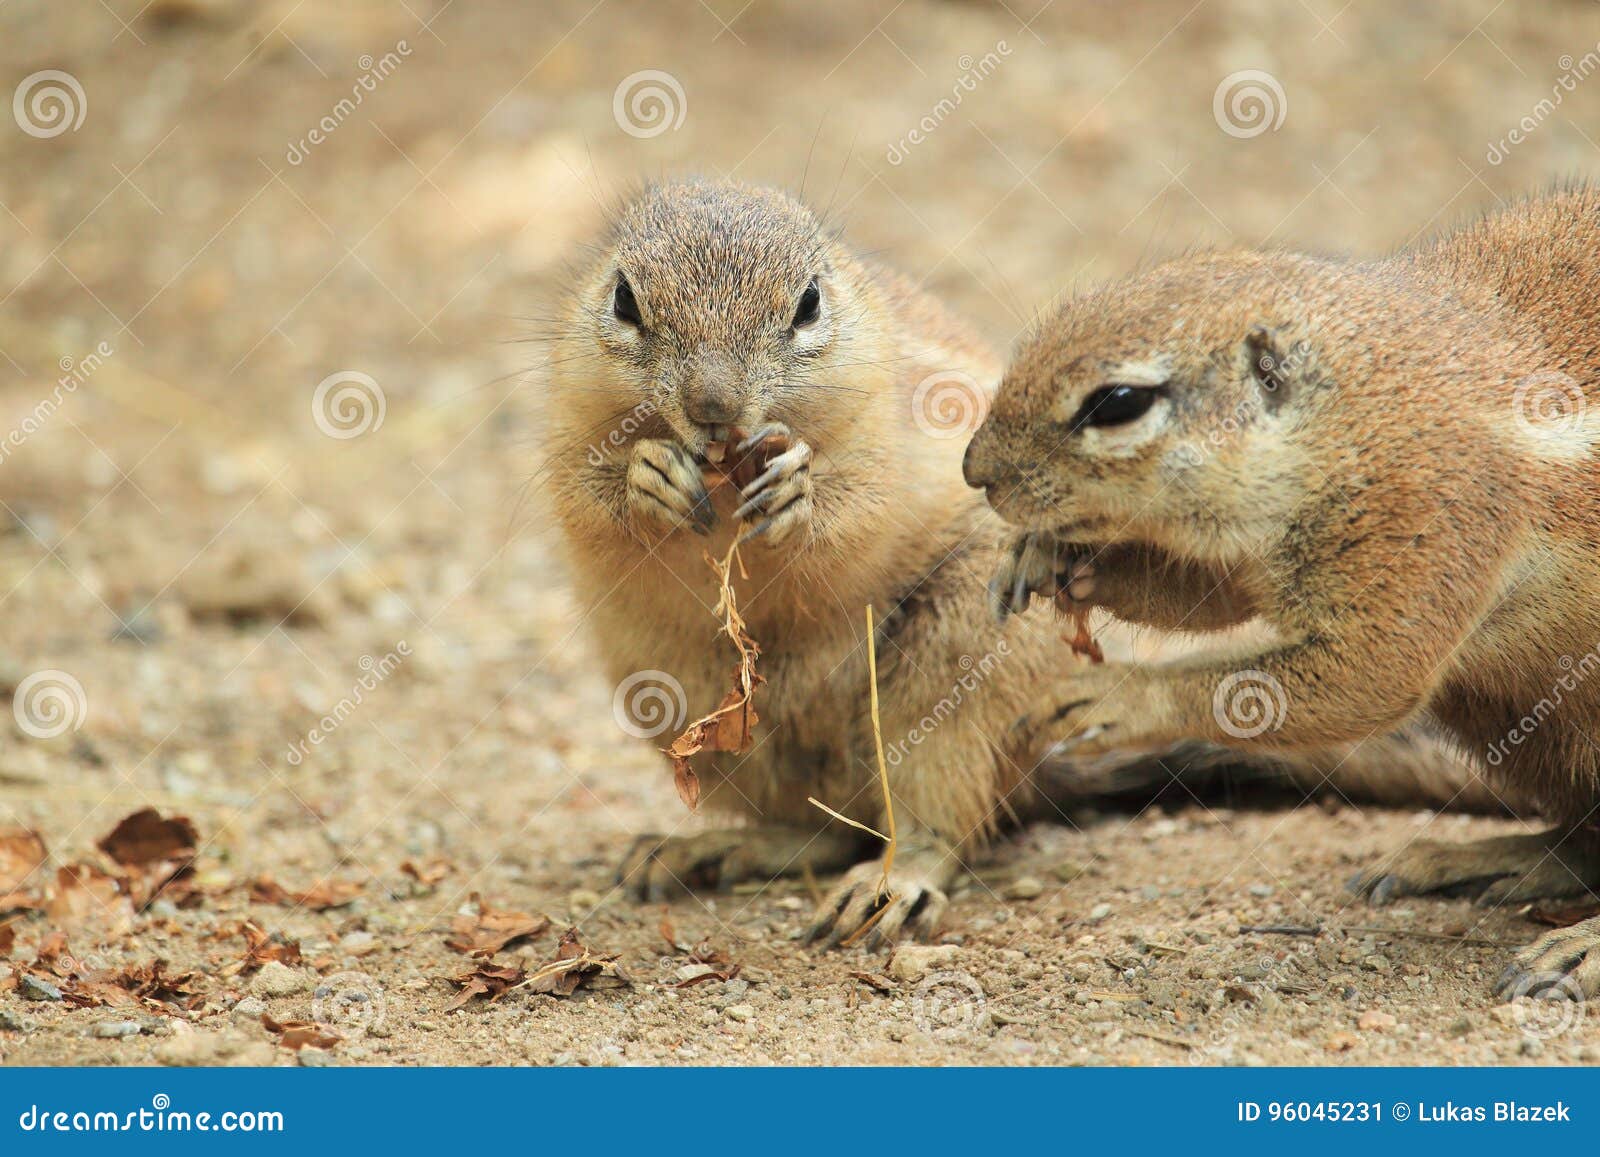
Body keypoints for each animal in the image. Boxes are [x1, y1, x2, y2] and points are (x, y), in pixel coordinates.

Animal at [541, 178, 1497, 947]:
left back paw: (891, 882)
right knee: (821, 828)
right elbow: (584, 496)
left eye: (808, 304)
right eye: (624, 299)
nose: (713, 408)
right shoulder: (565, 425)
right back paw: (711, 845)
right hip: (693, 705)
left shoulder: (899, 427)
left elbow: (864, 502)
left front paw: (801, 490)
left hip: (949, 676)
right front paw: (647, 476)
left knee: (920, 821)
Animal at [963, 185, 1600, 997]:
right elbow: (1208, 598)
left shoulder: (1429, 520)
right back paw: (1478, 859)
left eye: (1117, 403)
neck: (1349, 412)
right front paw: (1047, 560)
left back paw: (1577, 945)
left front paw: (1121, 694)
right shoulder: (1250, 553)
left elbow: (1368, 675)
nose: (973, 470)